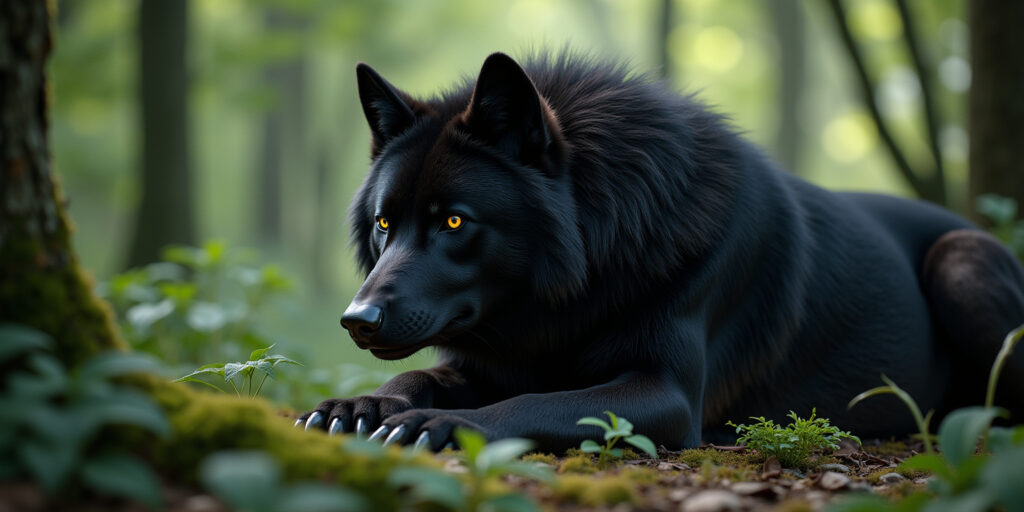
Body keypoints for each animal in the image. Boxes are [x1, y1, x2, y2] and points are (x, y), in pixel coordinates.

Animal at [298, 52, 1024, 451]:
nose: (356, 321)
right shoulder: (485, 359)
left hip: (961, 259)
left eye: (453, 221)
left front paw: (440, 422)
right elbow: (410, 378)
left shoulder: (665, 394)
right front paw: (359, 407)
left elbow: (530, 405)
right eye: (385, 224)